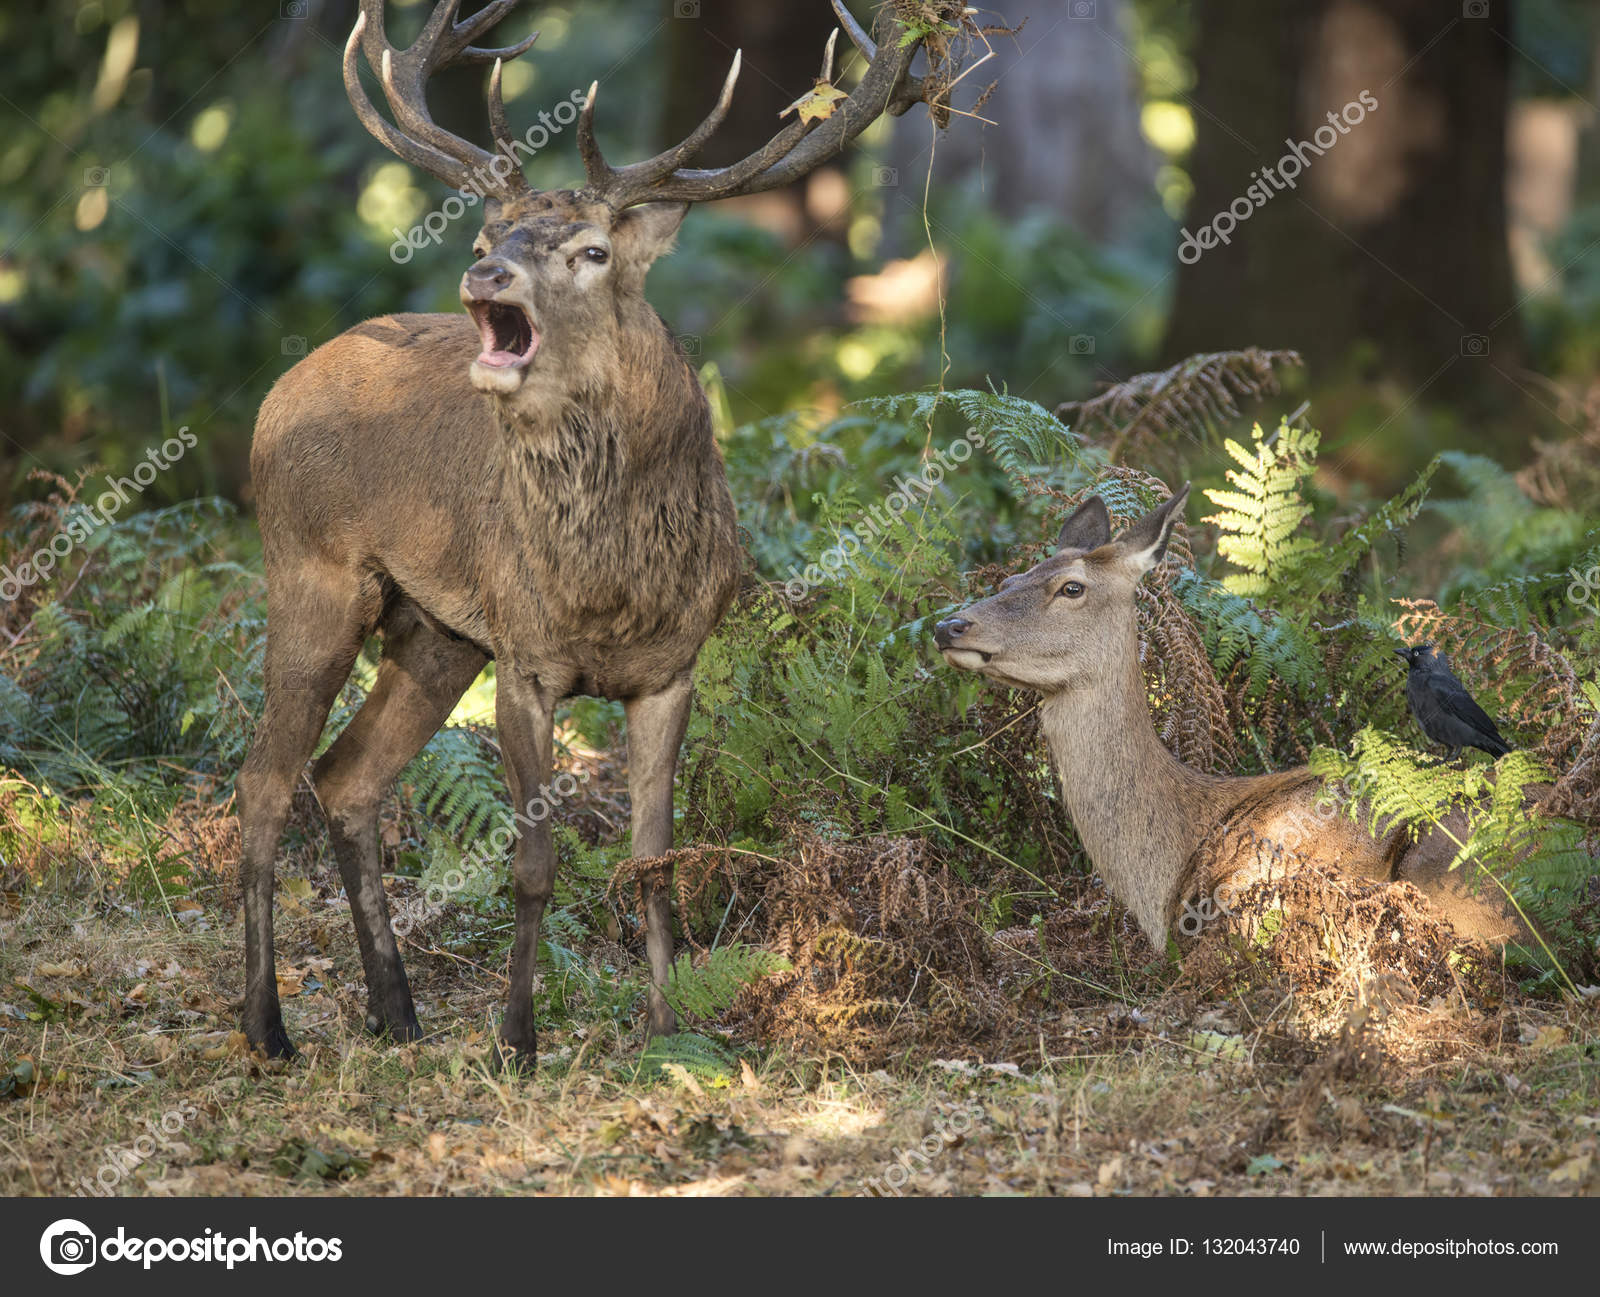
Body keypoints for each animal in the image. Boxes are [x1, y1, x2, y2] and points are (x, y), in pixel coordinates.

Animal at [237, 0, 962, 1068]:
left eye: (592, 250)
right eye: (489, 228)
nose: (484, 269)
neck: (612, 586)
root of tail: (281, 387)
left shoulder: (673, 666)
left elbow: (655, 855)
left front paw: (668, 1031)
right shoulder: (528, 658)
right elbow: (534, 861)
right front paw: (515, 1039)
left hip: (437, 632)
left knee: (345, 776)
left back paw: (397, 1011)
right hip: (312, 572)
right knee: (262, 781)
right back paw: (267, 1026)